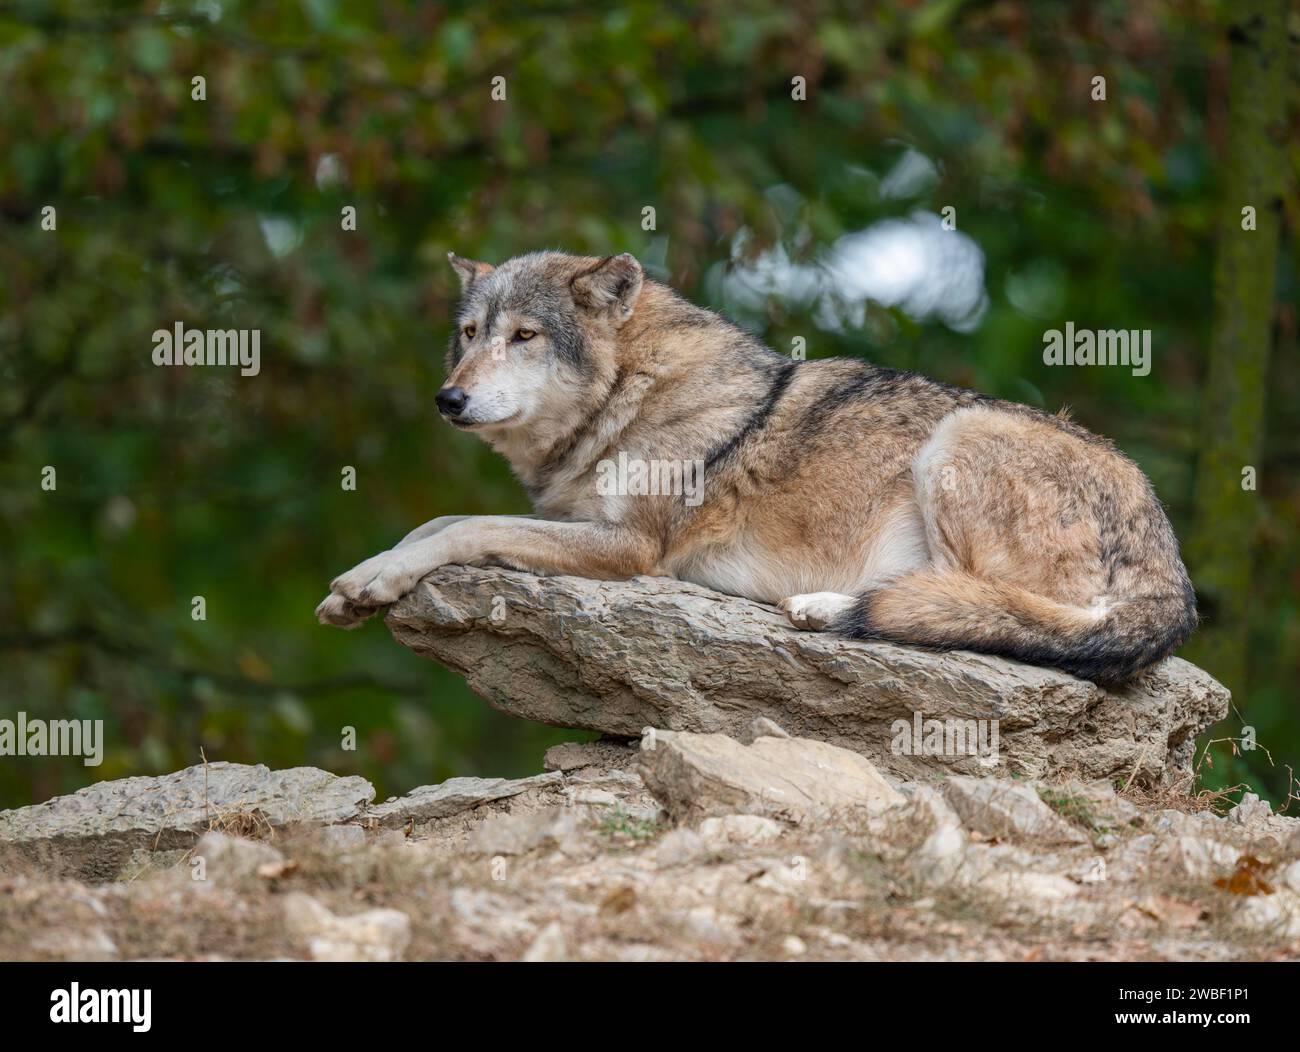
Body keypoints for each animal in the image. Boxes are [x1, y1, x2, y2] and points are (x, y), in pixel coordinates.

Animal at [316, 250, 1197, 684]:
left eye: (525, 337)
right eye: (469, 333)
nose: (449, 399)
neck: (632, 393)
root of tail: (1174, 571)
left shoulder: (629, 550)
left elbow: (461, 525)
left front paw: (372, 580)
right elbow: (436, 522)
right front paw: (360, 582)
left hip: (958, 436)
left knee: (985, 612)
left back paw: (826, 608)